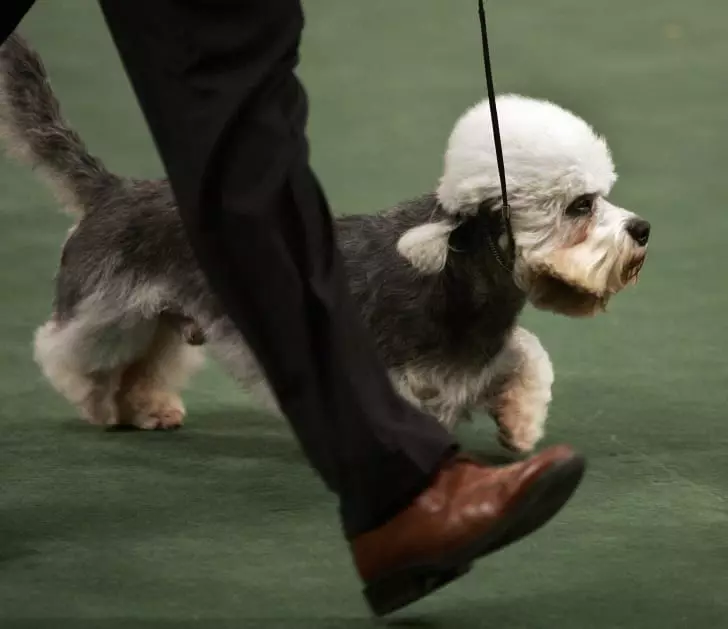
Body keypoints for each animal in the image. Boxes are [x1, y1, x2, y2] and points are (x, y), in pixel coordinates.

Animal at [0, 34, 648, 452]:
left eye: (603, 194)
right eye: (581, 205)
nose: (642, 230)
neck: (454, 273)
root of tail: (112, 190)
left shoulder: (477, 357)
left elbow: (528, 358)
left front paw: (519, 425)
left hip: (164, 318)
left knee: (146, 364)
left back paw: (149, 408)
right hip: (110, 310)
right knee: (67, 351)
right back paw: (100, 405)